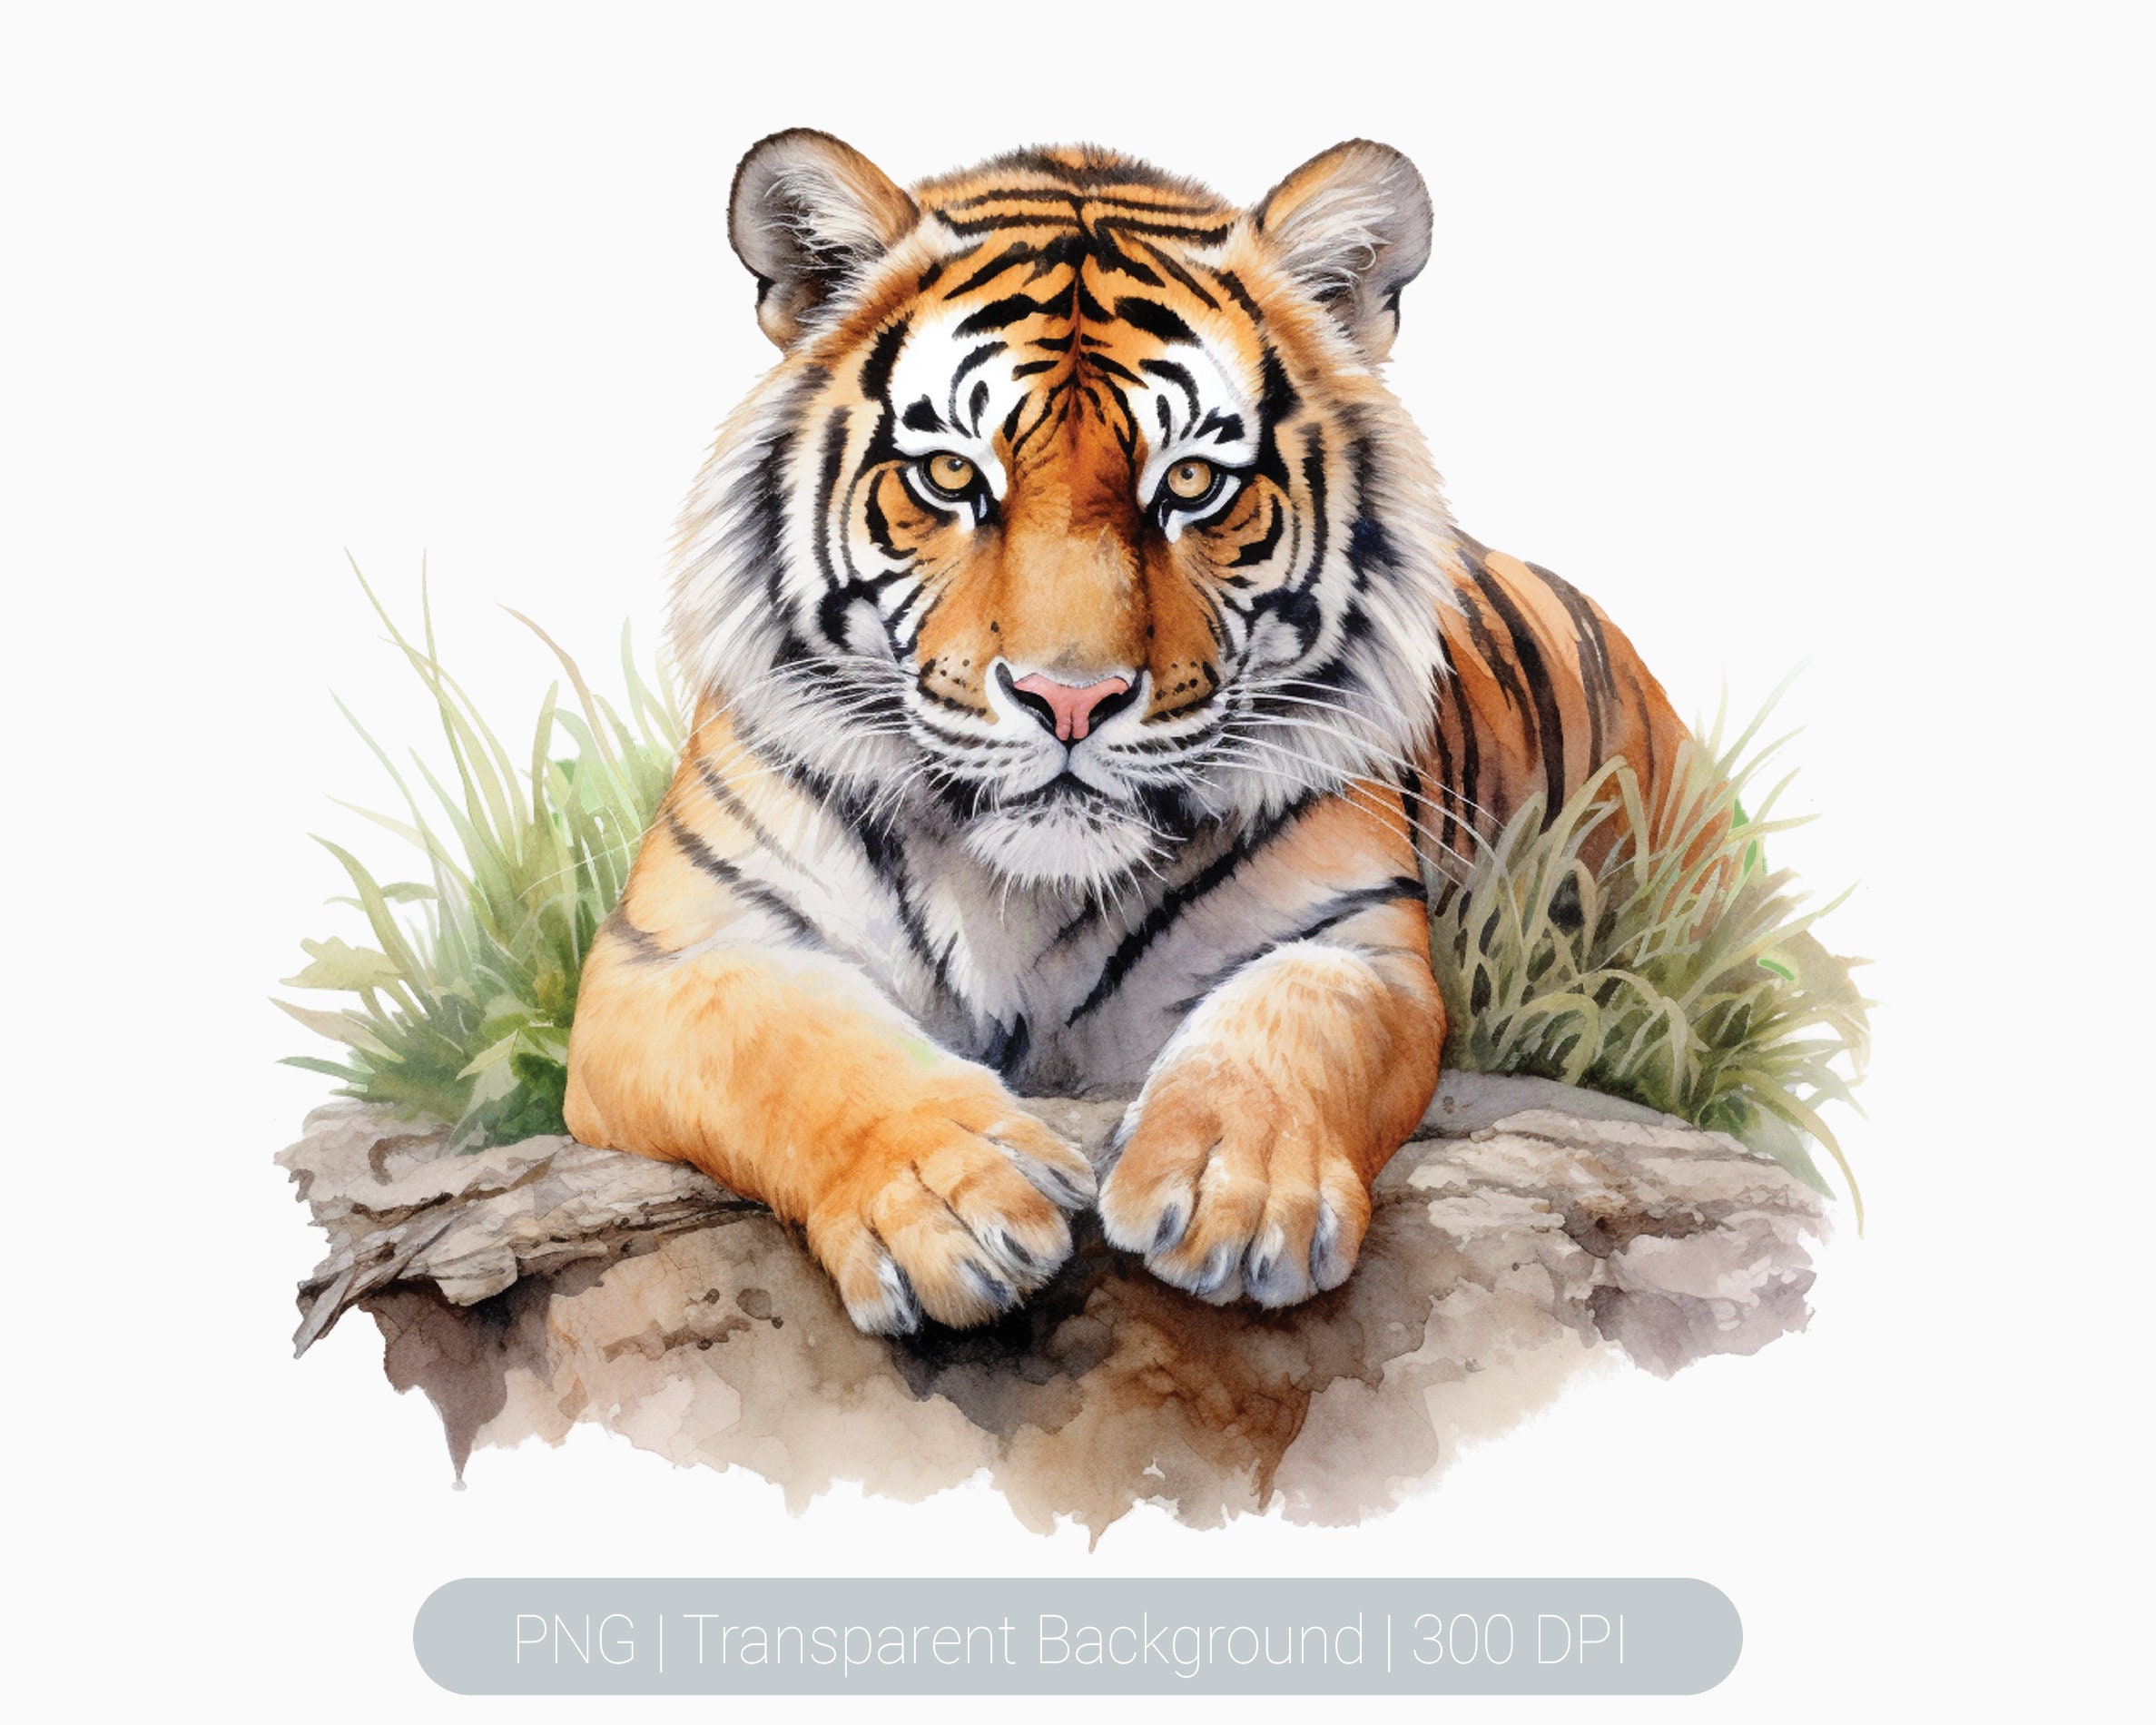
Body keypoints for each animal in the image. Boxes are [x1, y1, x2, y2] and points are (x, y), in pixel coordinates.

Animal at [563, 130, 1692, 1336]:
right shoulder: (666, 960)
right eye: (951, 473)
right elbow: (787, 1039)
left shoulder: (1355, 942)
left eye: (1190, 481)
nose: (1070, 699)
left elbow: (1295, 1013)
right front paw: (956, 1204)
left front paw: (1235, 1196)